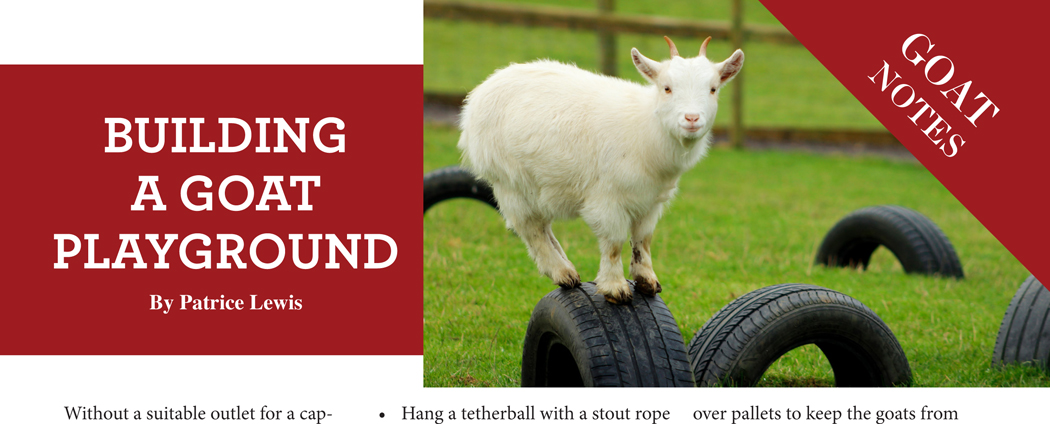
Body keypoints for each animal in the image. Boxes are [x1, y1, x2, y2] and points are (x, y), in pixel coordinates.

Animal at [458, 36, 744, 303]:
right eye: (667, 88)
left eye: (713, 89)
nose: (692, 119)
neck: (646, 126)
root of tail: (480, 93)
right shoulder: (607, 199)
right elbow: (614, 243)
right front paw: (615, 287)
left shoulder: (651, 201)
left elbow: (644, 239)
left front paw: (647, 280)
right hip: (510, 181)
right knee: (530, 228)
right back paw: (562, 272)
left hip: (540, 186)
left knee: (543, 226)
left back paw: (566, 267)